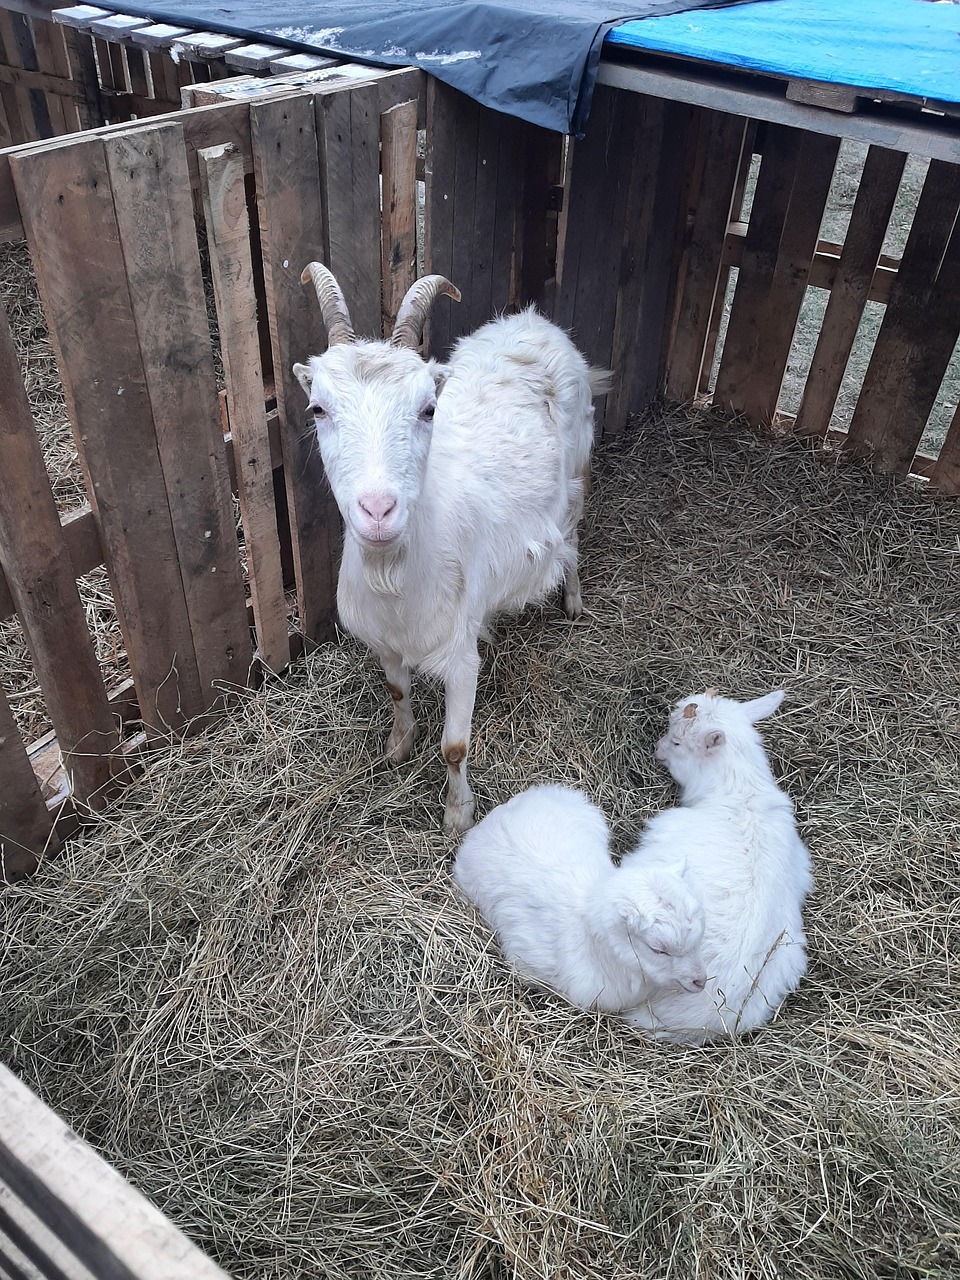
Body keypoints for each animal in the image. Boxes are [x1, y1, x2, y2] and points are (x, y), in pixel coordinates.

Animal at [294, 264, 605, 832]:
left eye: (428, 409)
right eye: (318, 408)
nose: (378, 511)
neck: (396, 578)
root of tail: (533, 320)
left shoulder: (459, 656)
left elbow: (454, 747)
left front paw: (459, 815)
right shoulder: (385, 643)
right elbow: (397, 692)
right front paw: (398, 746)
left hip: (578, 471)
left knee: (571, 535)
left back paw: (572, 599)